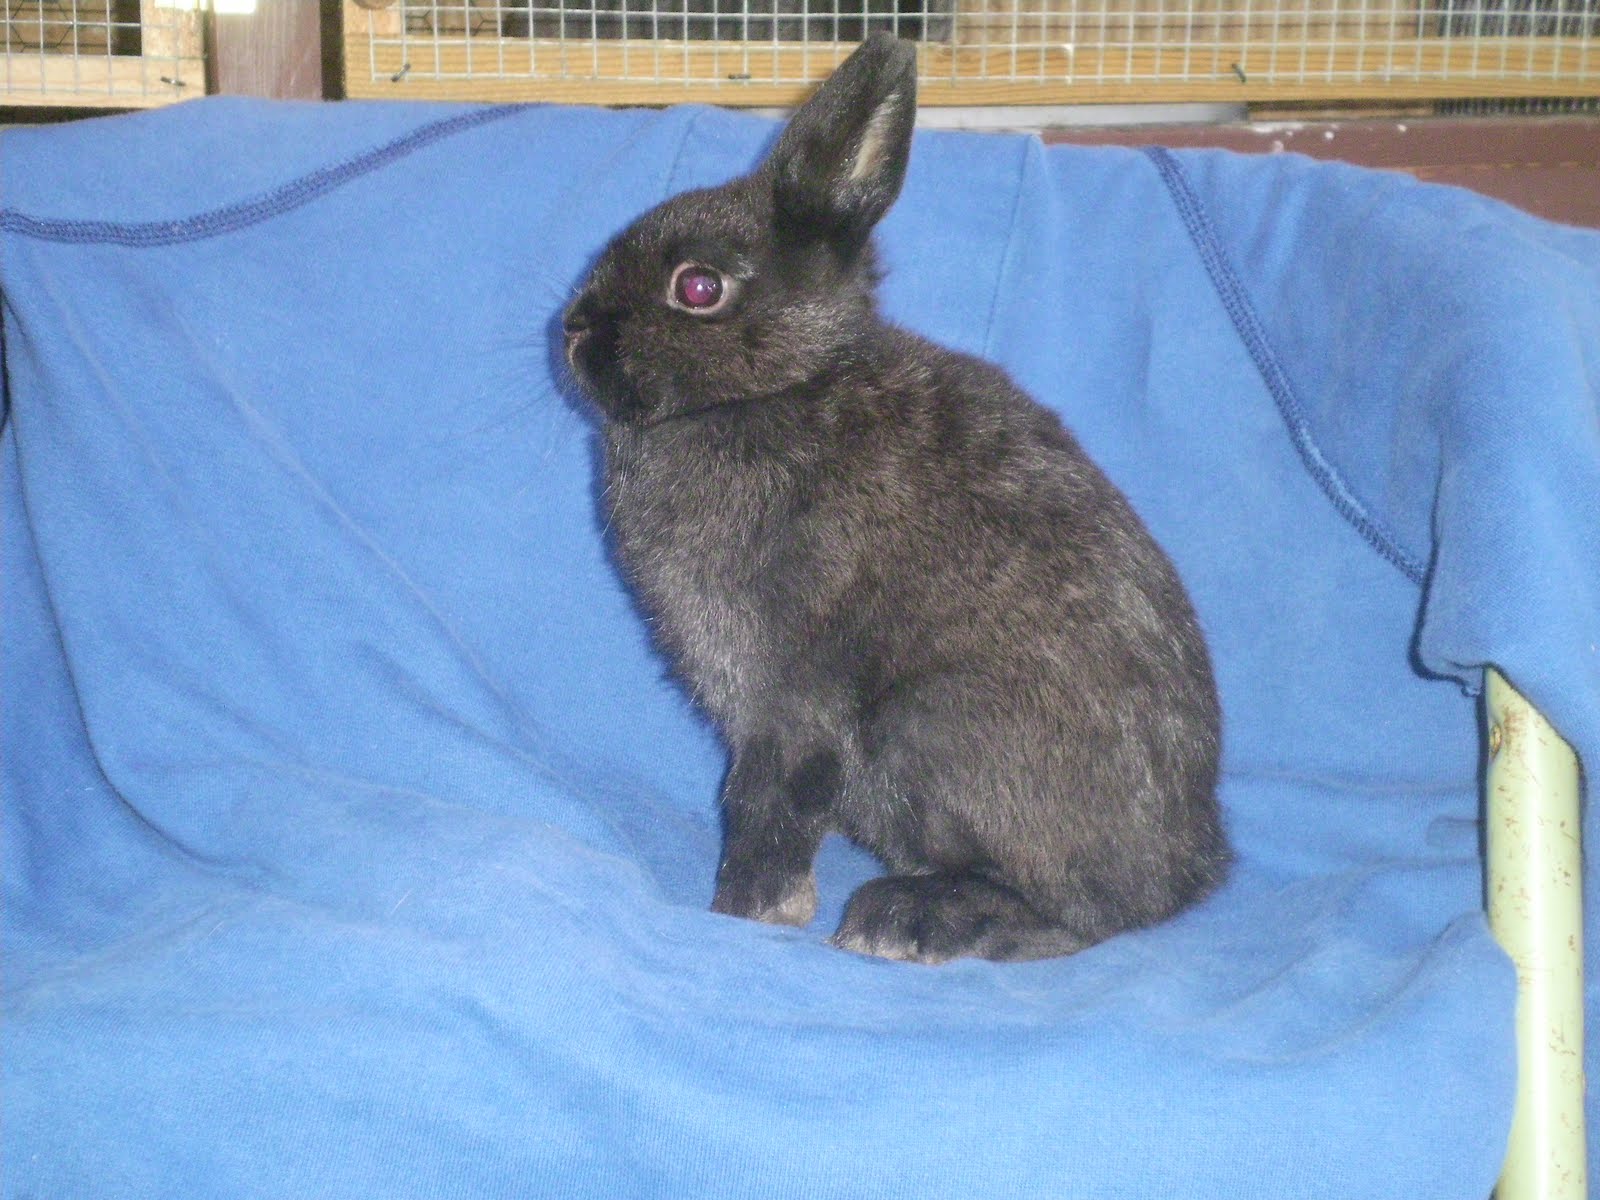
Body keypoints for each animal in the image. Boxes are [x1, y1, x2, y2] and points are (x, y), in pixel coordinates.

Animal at [561, 33, 1227, 963]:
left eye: (697, 288)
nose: (573, 331)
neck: (776, 388)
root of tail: (1186, 873)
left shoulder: (788, 697)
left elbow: (766, 798)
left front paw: (748, 911)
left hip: (924, 728)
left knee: (1078, 914)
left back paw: (905, 918)